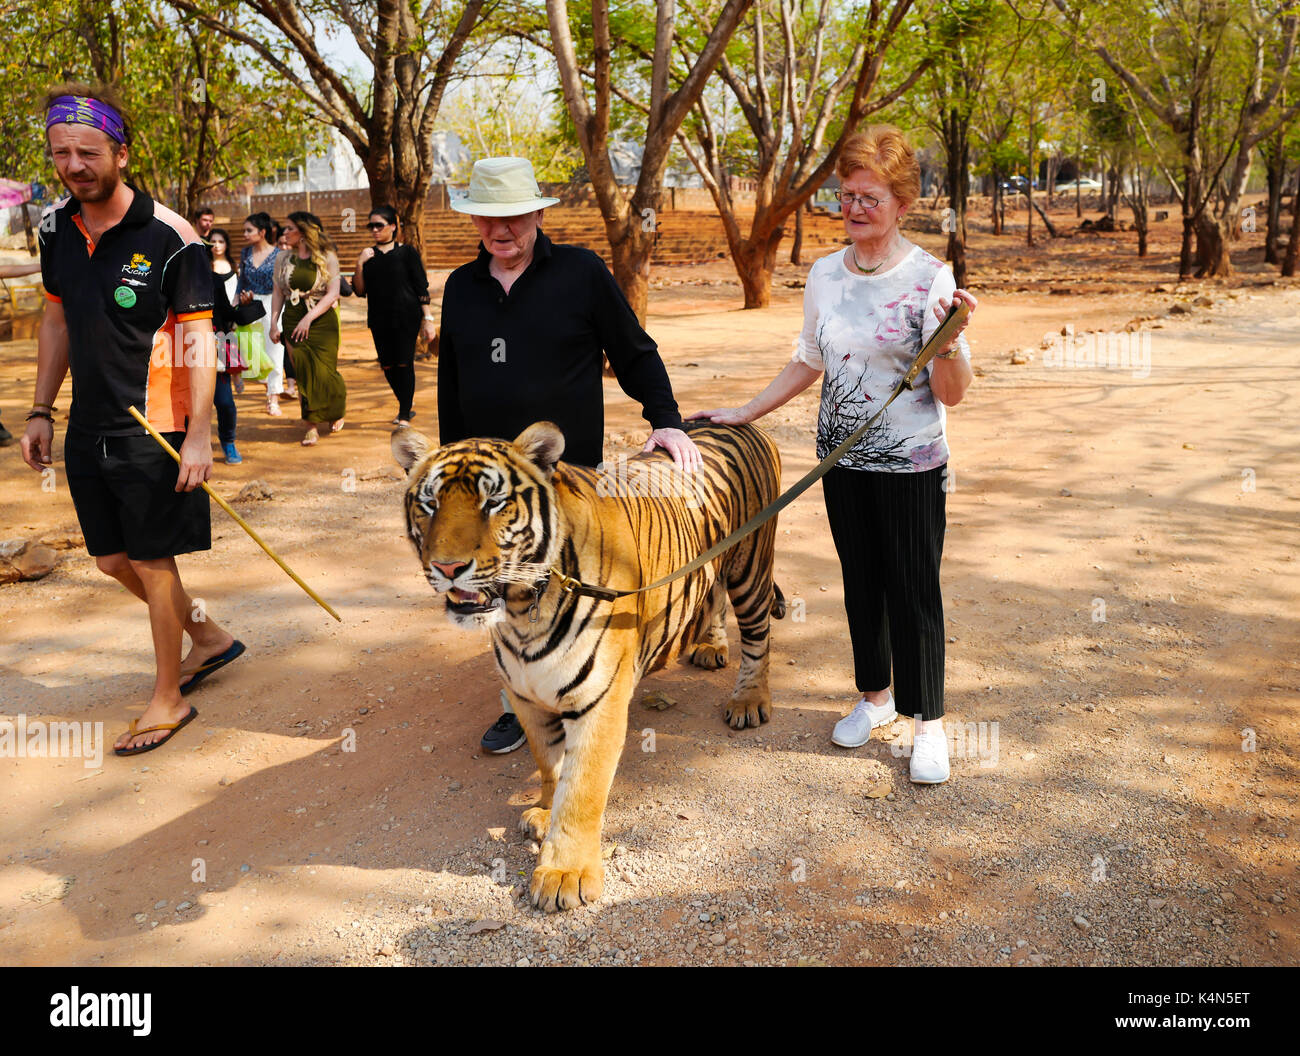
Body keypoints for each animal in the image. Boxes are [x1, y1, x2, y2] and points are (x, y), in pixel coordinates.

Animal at [392, 419, 785, 912]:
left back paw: (748, 702)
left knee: (758, 636)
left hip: (750, 567)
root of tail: (742, 422)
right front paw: (546, 812)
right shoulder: (526, 696)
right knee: (712, 598)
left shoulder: (600, 700)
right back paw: (710, 647)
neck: (521, 611)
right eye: (430, 504)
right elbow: (550, 763)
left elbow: (582, 789)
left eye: (494, 502)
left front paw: (565, 873)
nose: (447, 568)